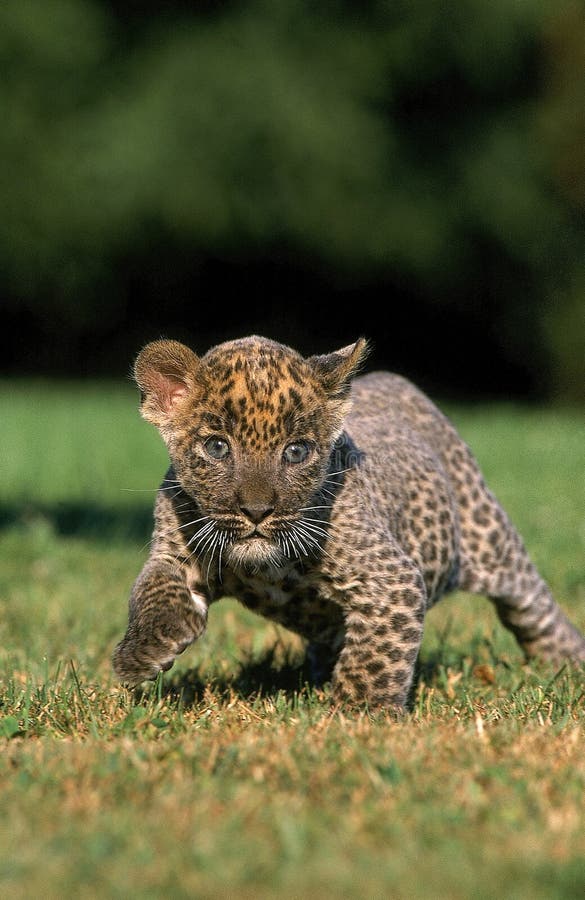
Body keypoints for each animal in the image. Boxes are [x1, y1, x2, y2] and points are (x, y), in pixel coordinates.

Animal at [112, 334, 585, 709]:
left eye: (296, 451)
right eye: (216, 447)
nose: (257, 510)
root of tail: (394, 381)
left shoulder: (390, 579)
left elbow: (376, 654)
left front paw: (358, 714)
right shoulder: (174, 551)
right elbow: (153, 590)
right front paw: (142, 652)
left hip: (489, 539)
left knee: (532, 605)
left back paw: (566, 662)